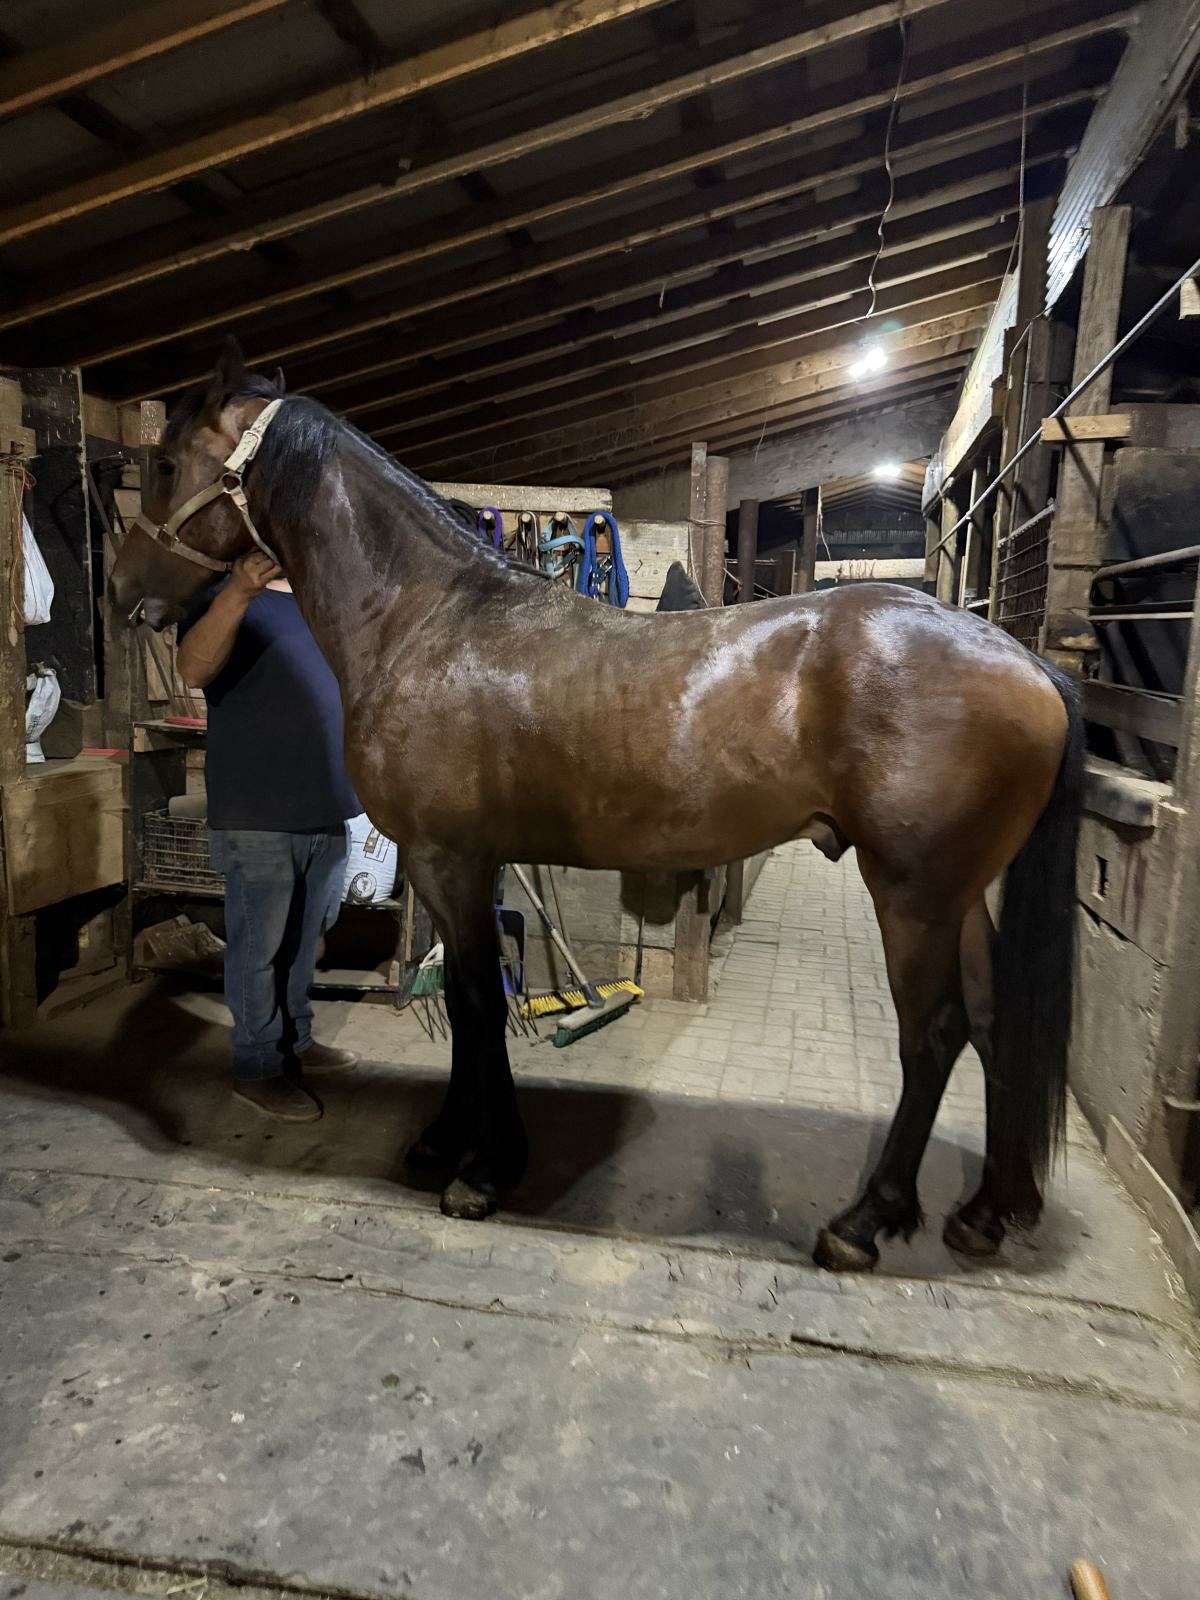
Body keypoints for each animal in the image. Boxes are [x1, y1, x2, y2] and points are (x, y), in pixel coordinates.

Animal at [110, 341, 1083, 1272]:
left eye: (165, 463)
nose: (125, 592)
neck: (425, 622)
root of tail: (1025, 661)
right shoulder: (459, 863)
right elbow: (467, 998)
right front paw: (446, 1144)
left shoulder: (449, 859)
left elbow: (476, 1003)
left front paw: (483, 1170)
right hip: (959, 895)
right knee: (993, 1024)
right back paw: (985, 1214)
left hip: (913, 894)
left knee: (934, 1036)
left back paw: (863, 1223)